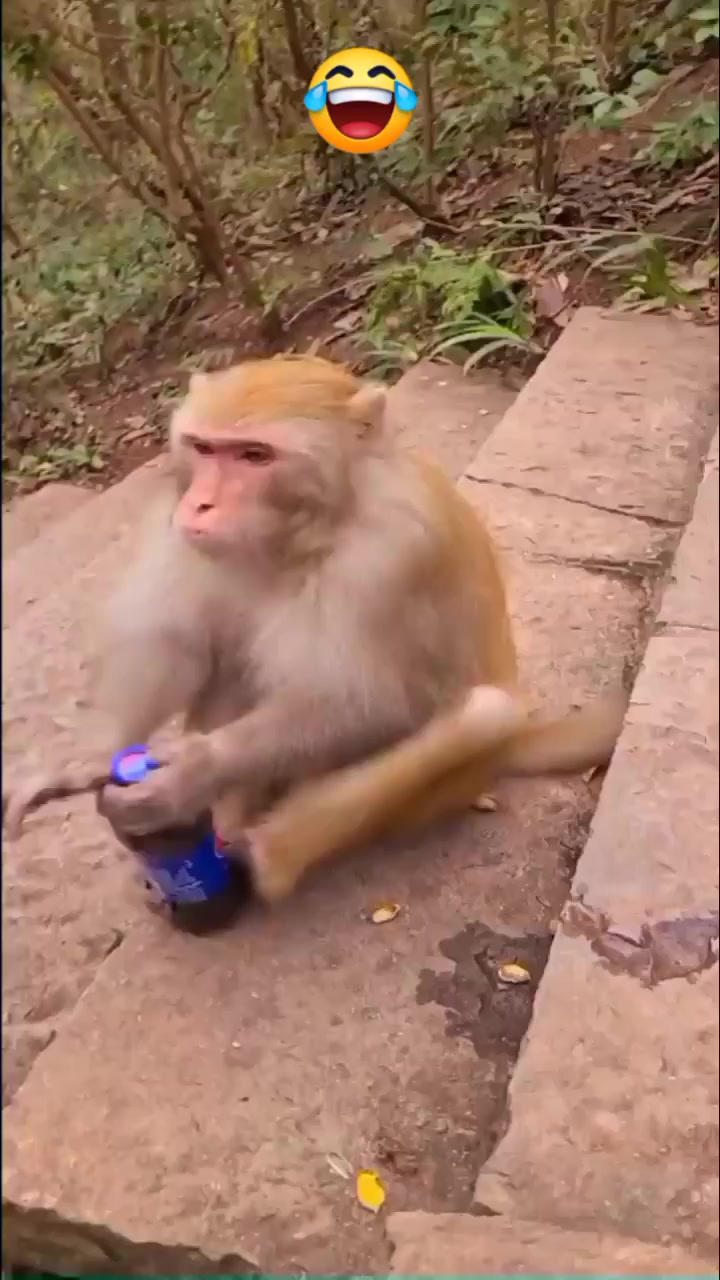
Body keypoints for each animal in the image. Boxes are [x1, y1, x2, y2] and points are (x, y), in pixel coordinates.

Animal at [2, 355, 627, 902]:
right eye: (203, 448)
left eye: (255, 455)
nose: (200, 505)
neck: (303, 531)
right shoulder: (182, 530)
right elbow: (175, 640)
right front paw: (92, 754)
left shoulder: (391, 556)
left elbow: (366, 701)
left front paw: (193, 773)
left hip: (446, 786)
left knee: (484, 715)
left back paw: (263, 854)